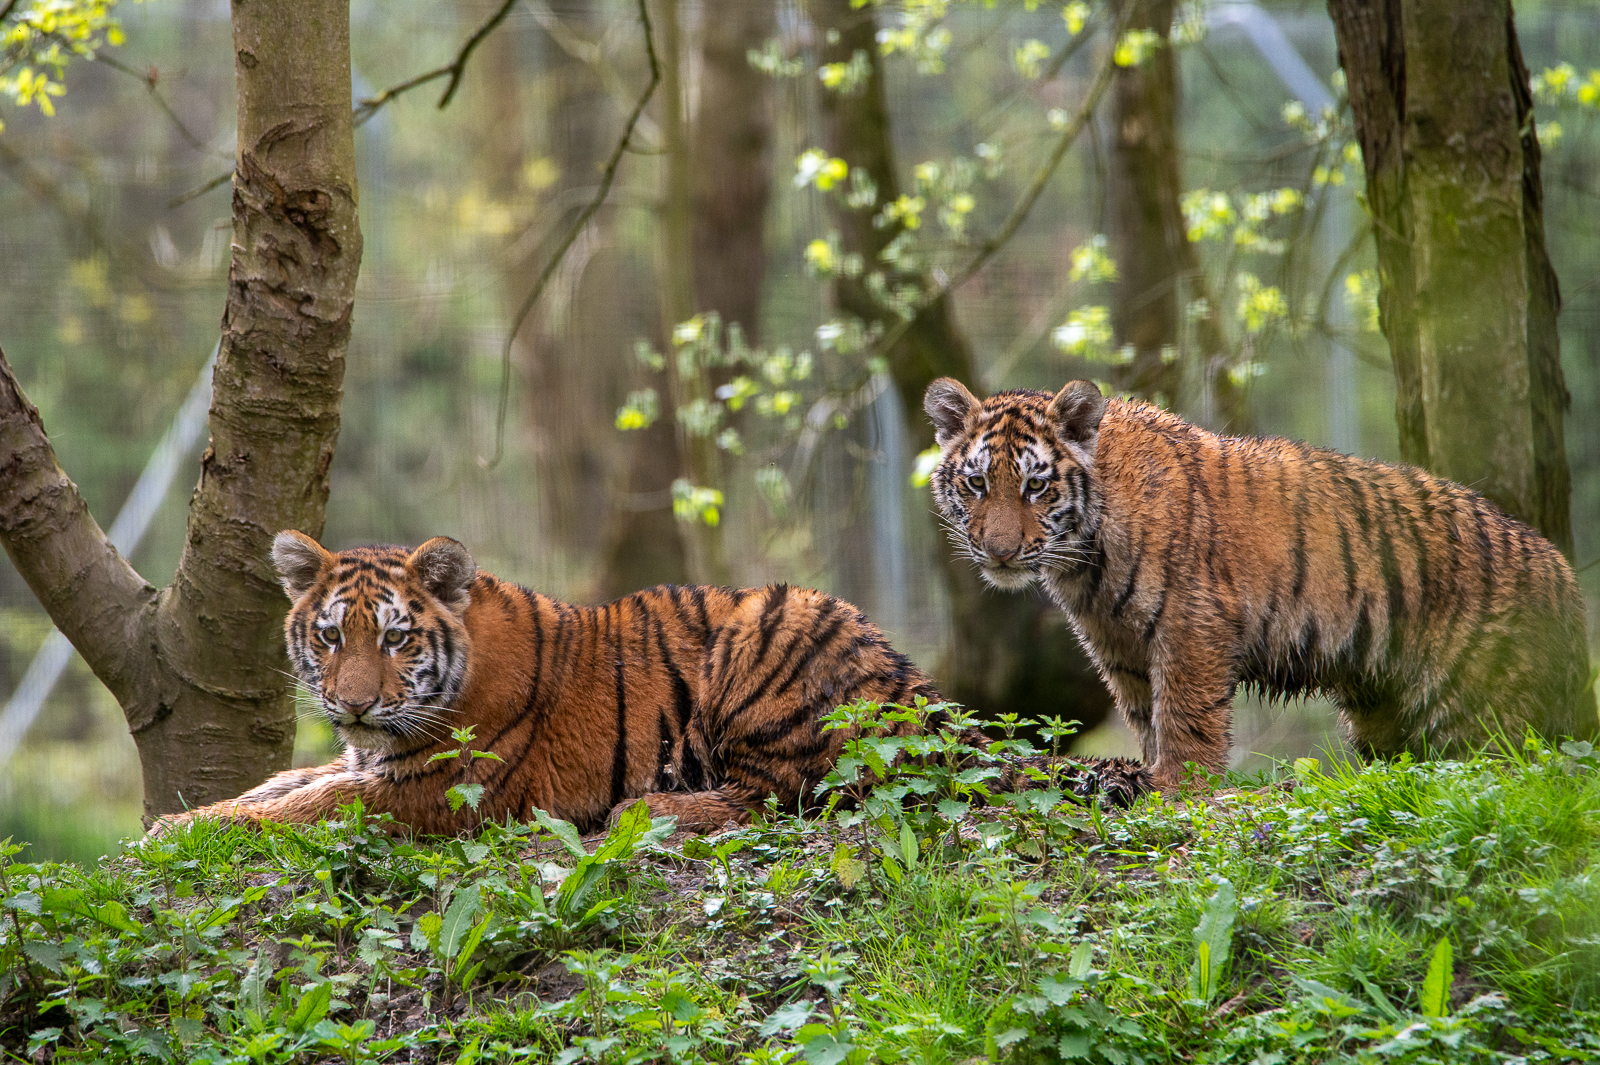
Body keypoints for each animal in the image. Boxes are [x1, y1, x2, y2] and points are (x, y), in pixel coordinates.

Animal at [152, 530, 1150, 837]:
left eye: (396, 639)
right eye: (328, 637)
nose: (354, 702)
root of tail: (922, 689)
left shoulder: (435, 790)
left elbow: (303, 806)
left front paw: (187, 828)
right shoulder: (371, 762)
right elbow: (289, 781)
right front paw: (178, 817)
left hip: (767, 624)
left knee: (791, 794)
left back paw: (651, 808)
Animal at [923, 376, 1597, 791]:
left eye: (1035, 486)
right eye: (977, 483)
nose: (1000, 550)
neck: (1084, 561)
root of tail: (1561, 572)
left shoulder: (1191, 625)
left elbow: (1186, 716)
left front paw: (1179, 787)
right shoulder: (1119, 645)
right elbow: (1147, 718)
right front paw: (1146, 775)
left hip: (1484, 718)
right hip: (1383, 708)